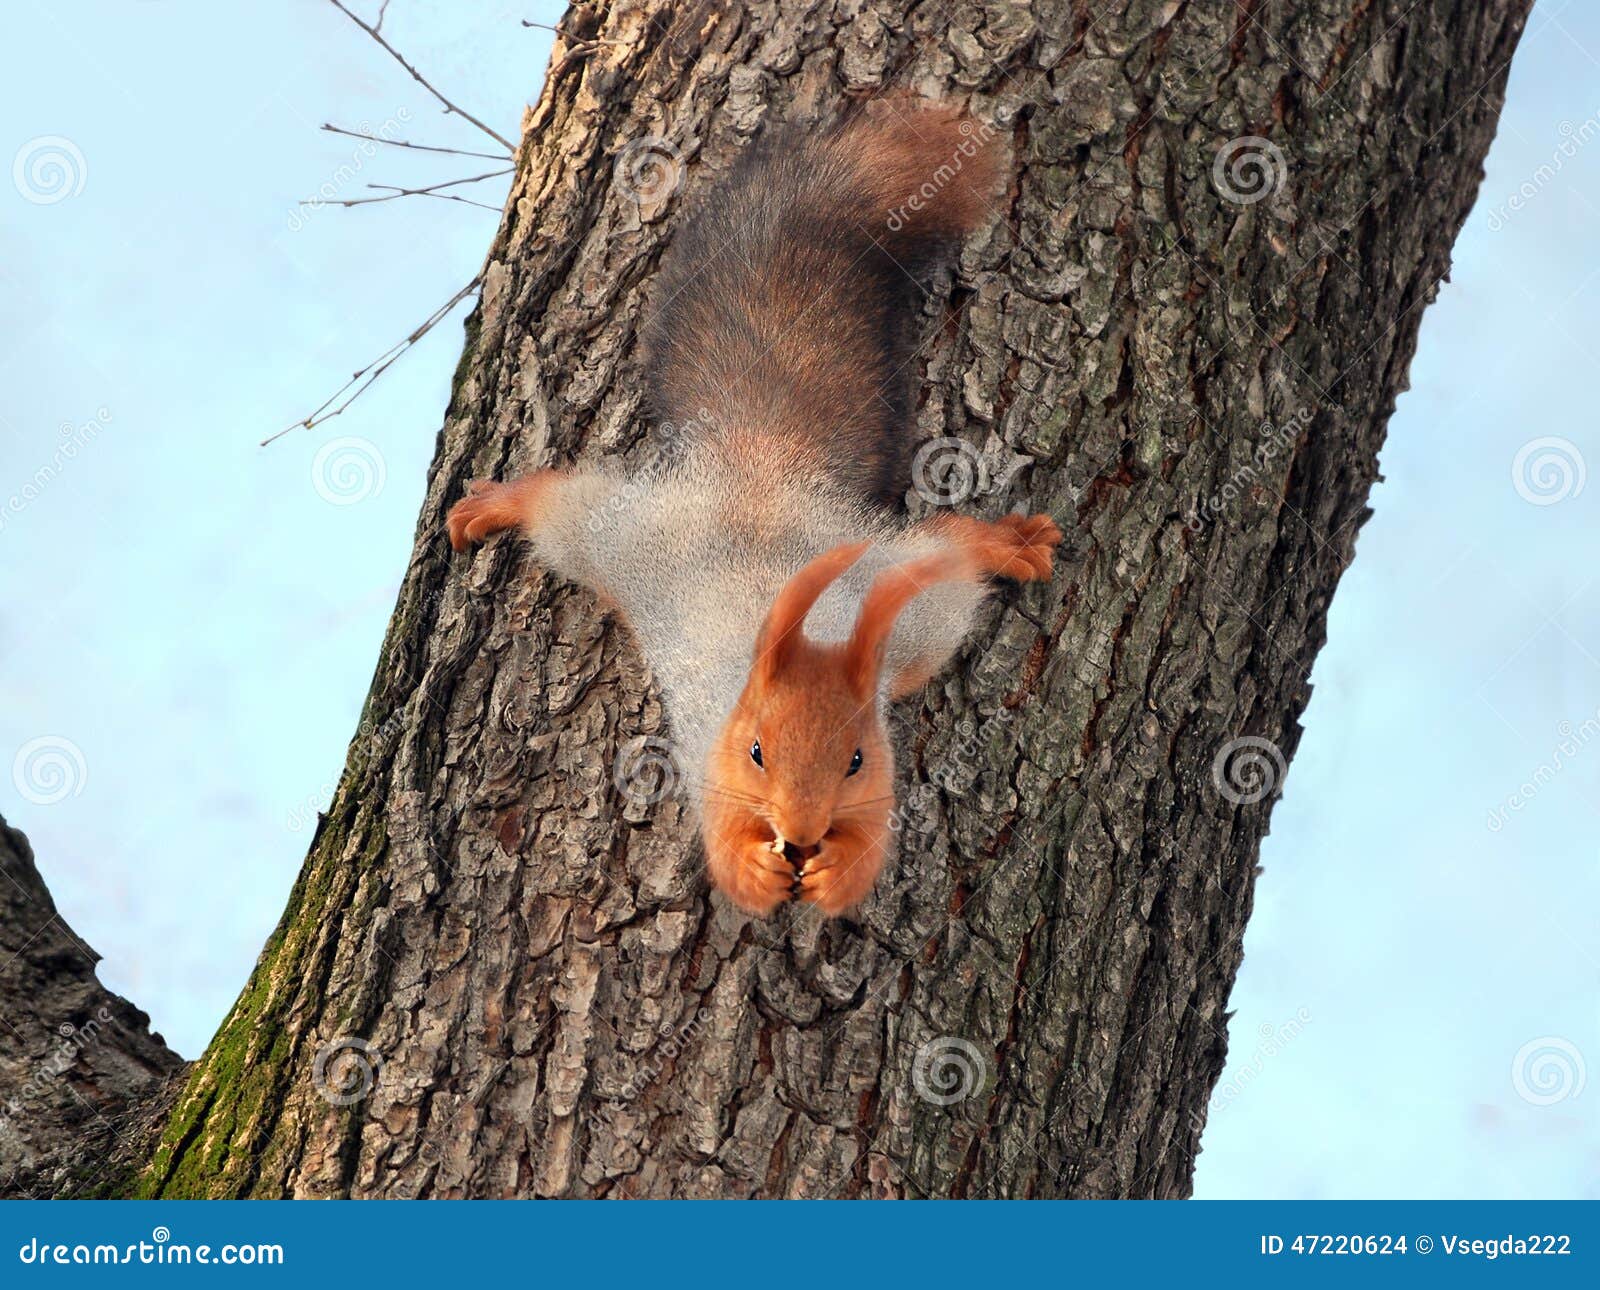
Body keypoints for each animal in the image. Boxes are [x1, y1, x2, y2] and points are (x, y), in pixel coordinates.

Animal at [447, 99, 1061, 918]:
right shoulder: (711, 750)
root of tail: (761, 473)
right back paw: (499, 501)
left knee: (951, 555)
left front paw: (840, 870)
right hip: (620, 539)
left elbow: (873, 840)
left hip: (910, 610)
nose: (801, 830)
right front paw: (754, 868)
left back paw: (1007, 544)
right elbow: (720, 832)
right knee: (558, 505)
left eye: (858, 758)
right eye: (756, 751)